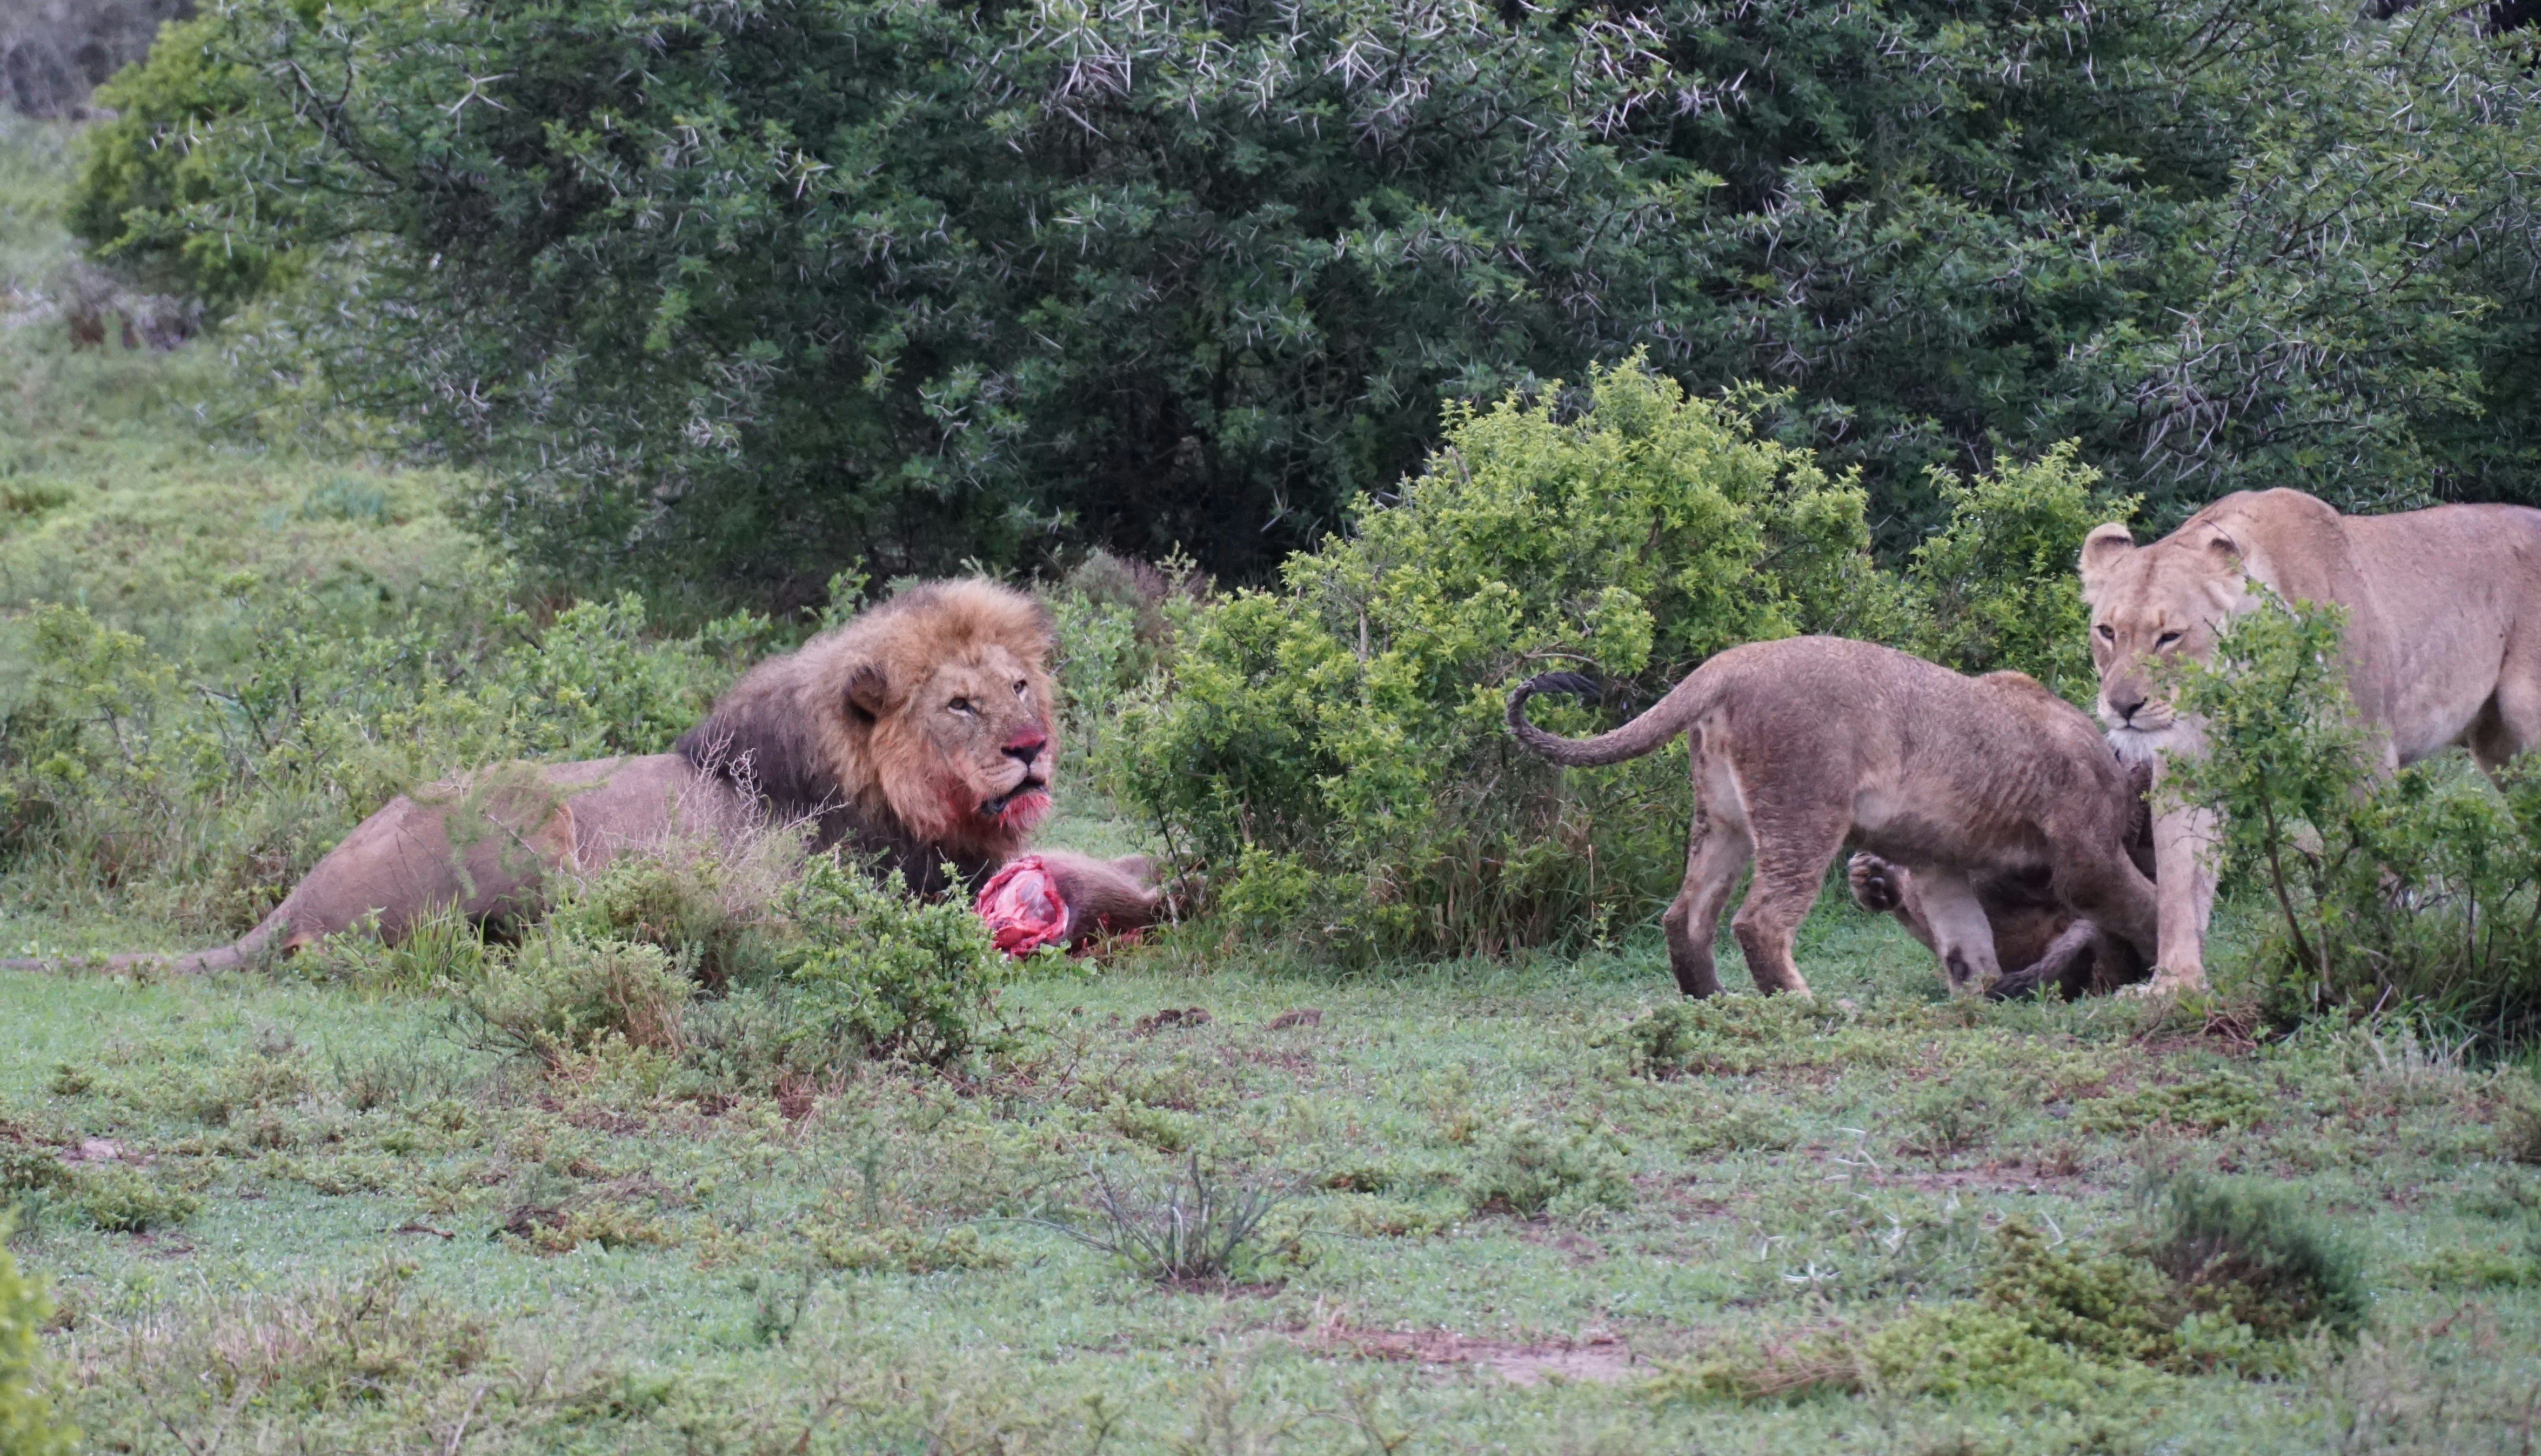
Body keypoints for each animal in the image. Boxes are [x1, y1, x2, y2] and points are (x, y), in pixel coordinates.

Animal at [12, 579, 1159, 973]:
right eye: (959, 704)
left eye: (1021, 684)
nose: (1030, 747)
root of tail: (295, 898)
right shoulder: (889, 884)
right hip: (523, 805)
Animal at [1506, 637, 2158, 998]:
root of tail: (1723, 666)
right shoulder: (2086, 858)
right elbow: (2143, 904)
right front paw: (2157, 970)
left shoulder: (1938, 864)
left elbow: (1966, 943)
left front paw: (1980, 996)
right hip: (1805, 810)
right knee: (1759, 922)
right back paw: (1808, 1006)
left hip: (1723, 821)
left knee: (1684, 915)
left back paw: (1715, 1002)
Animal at [2079, 487, 2541, 993]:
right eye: (2107, 631)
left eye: (2170, 637)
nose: (2123, 707)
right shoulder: (2190, 765)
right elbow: (2181, 880)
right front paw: (2174, 985)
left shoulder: (2362, 751)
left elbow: (2372, 871)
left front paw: (2374, 965)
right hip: (2498, 747)